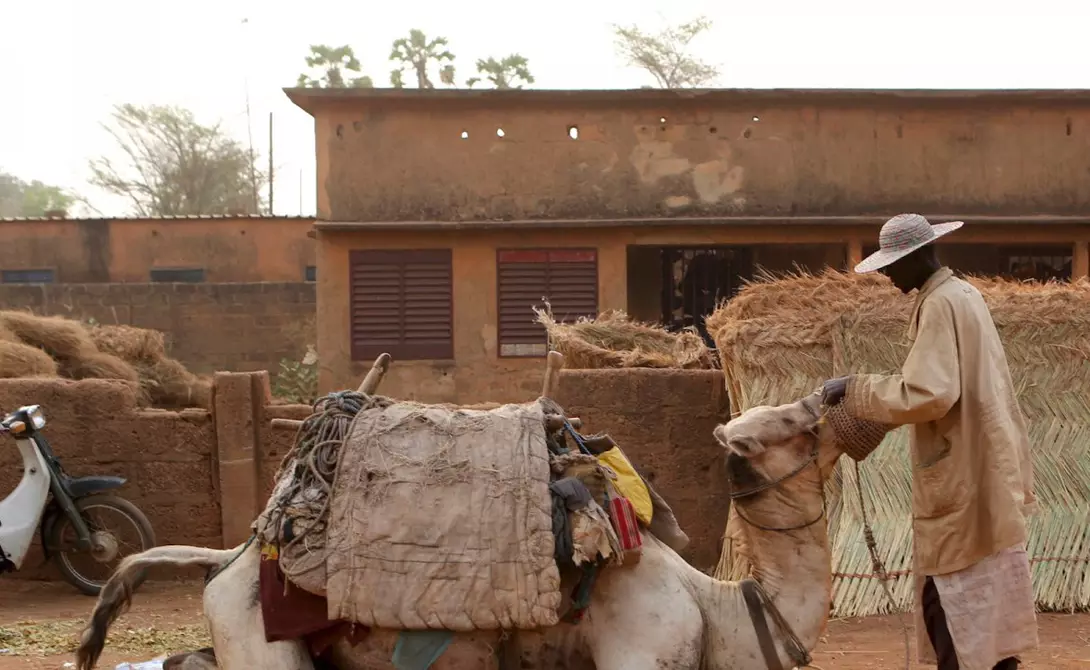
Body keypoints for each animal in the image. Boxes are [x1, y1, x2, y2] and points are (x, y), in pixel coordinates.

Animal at [79, 383, 841, 670]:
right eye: (779, 422)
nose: (831, 391)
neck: (719, 608)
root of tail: (226, 561)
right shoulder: (643, 647)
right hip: (256, 639)